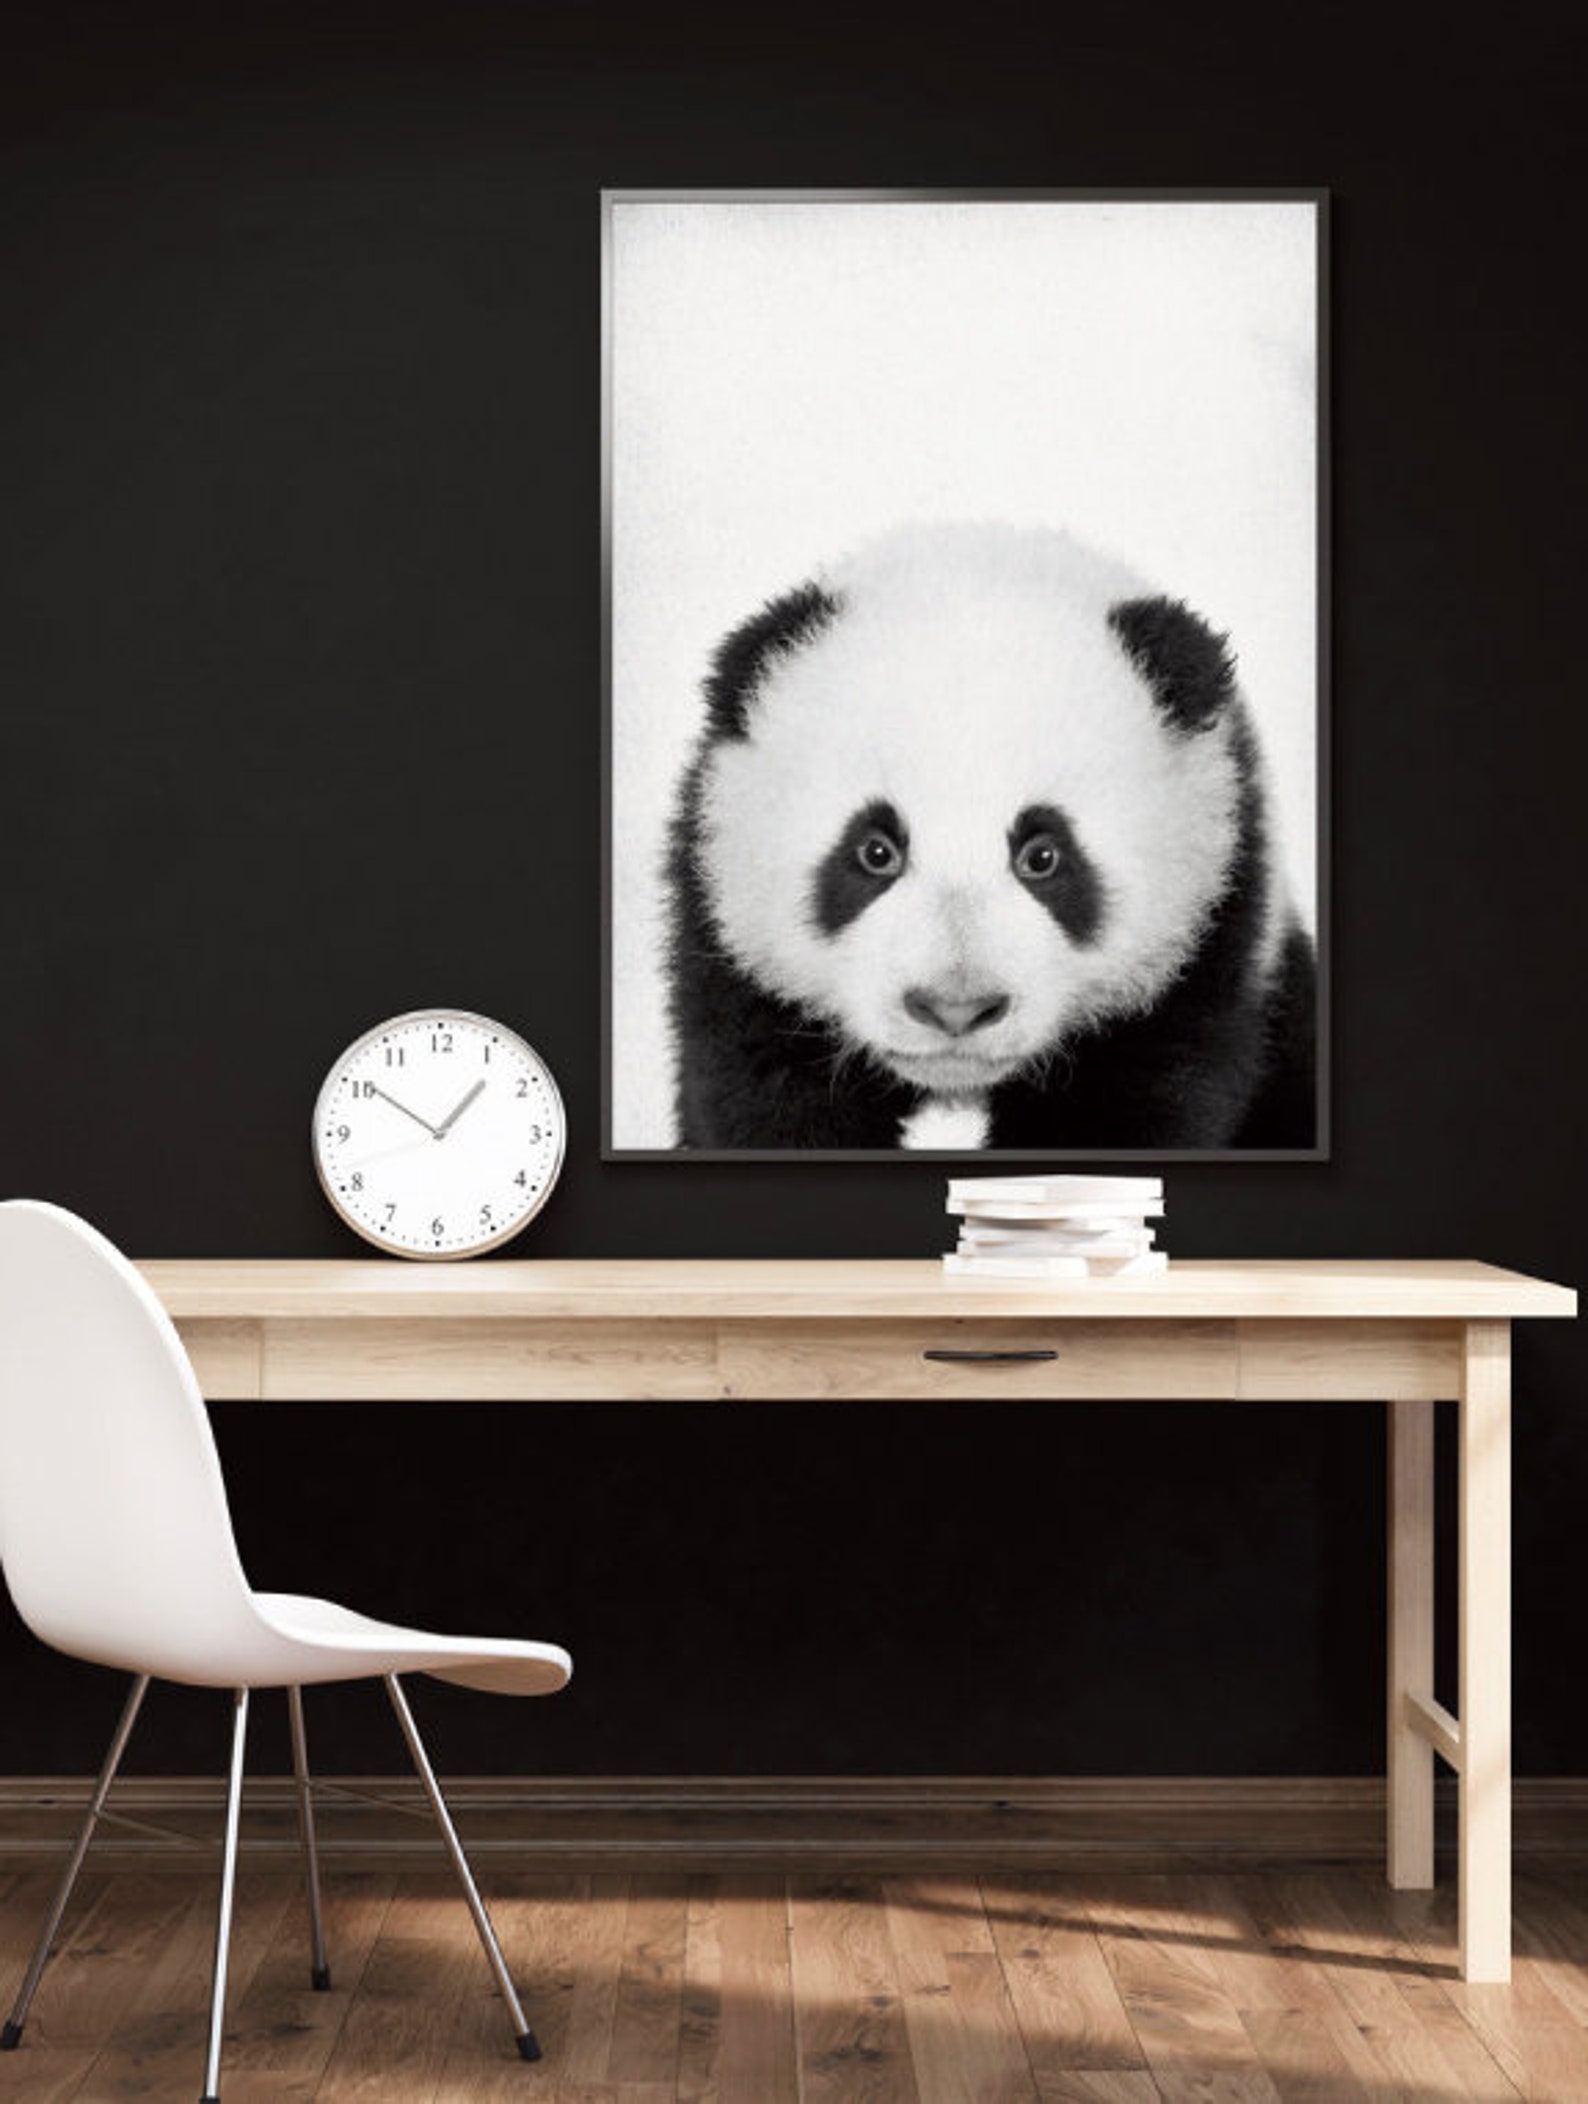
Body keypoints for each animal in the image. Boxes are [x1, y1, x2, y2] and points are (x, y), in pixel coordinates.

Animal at [666, 522, 1316, 1151]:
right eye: (875, 852)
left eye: (1043, 855)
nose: (955, 1009)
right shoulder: (732, 950)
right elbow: (764, 1092)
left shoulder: (1210, 939)